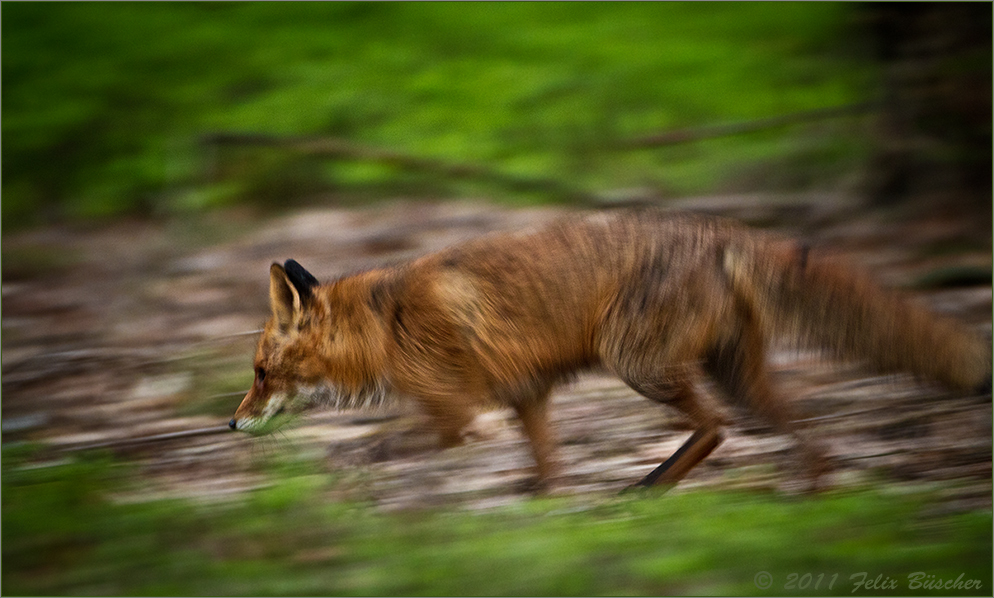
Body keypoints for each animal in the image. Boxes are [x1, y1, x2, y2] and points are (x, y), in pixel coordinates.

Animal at [229, 209, 991, 490]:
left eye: (262, 374)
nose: (230, 424)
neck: (384, 325)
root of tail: (719, 230)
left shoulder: (456, 413)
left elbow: (377, 447)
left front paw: (344, 475)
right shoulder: (527, 396)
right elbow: (547, 470)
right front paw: (541, 516)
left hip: (638, 364)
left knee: (716, 427)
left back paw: (650, 488)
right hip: (735, 376)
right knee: (805, 435)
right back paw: (811, 500)